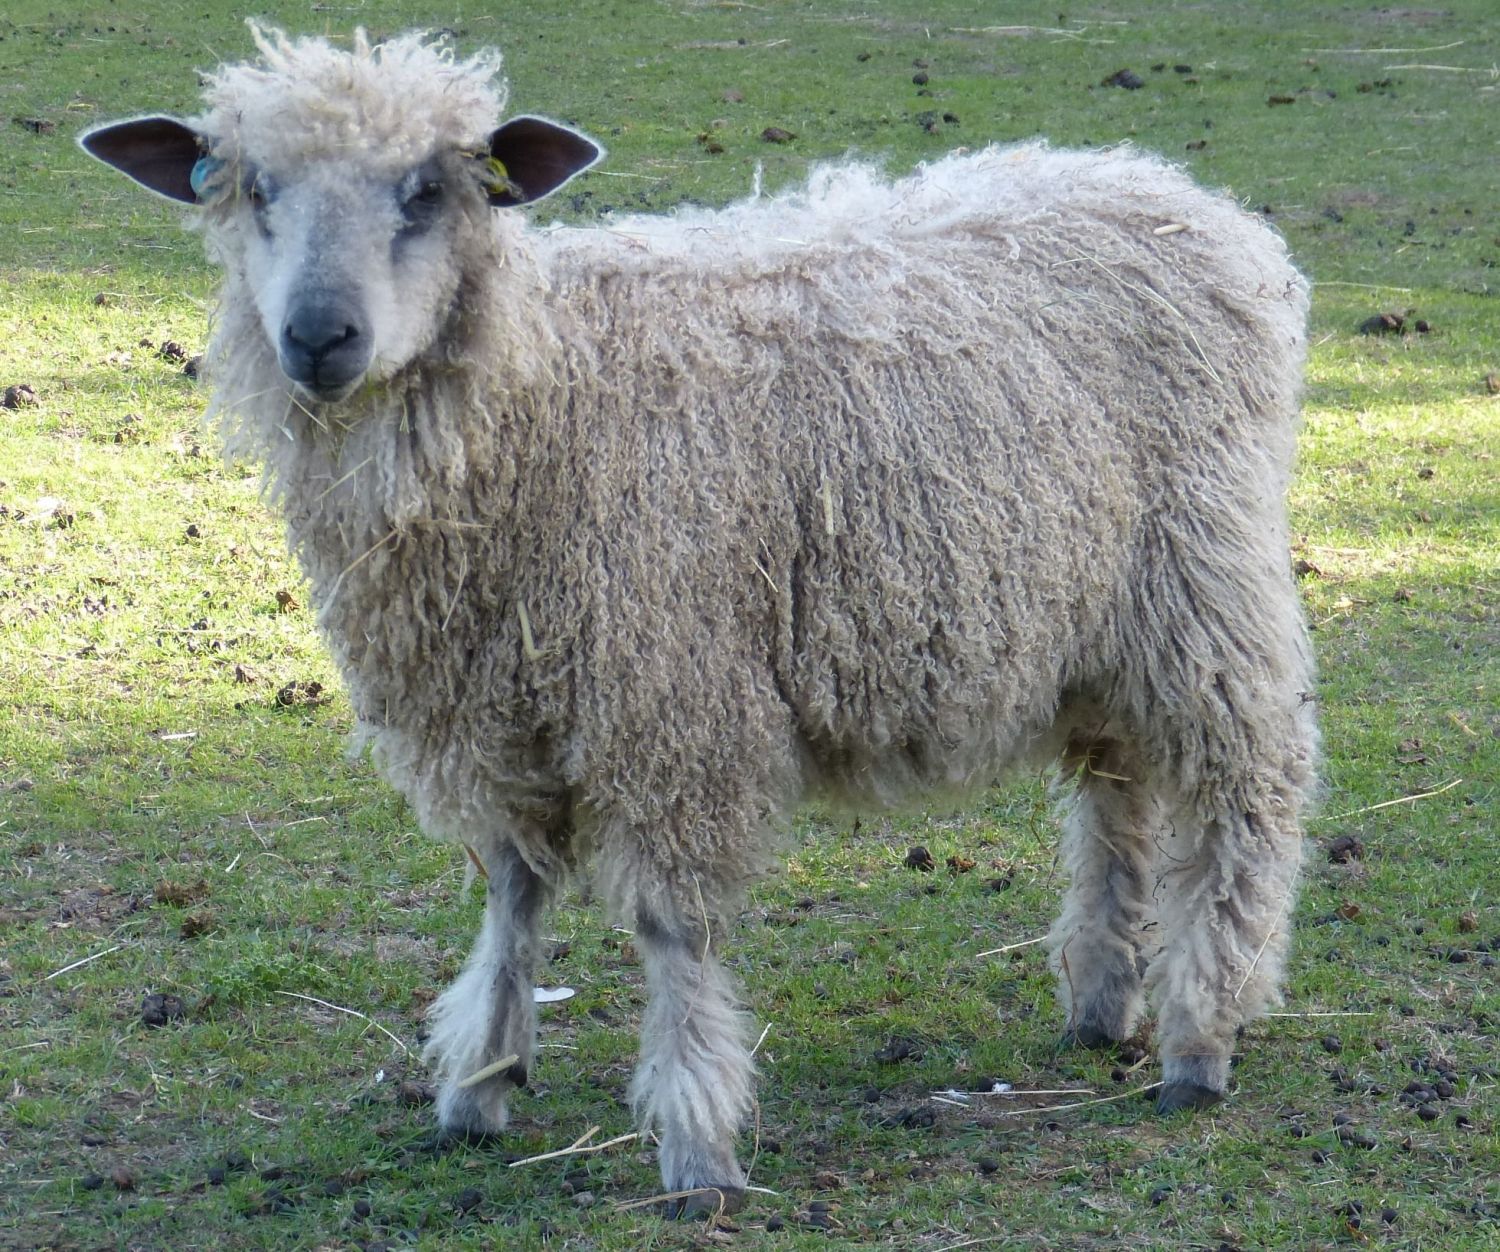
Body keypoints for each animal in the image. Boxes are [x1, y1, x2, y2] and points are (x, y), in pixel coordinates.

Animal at [83, 25, 1317, 1215]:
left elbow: (674, 929)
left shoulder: (667, 695)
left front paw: (695, 1148)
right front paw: (479, 1085)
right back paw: (1102, 1003)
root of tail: (1175, 193)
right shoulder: (498, 707)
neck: (543, 392)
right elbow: (511, 893)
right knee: (1116, 790)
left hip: (1204, 586)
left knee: (1243, 791)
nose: (320, 335)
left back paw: (1200, 1037)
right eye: (251, 187)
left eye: (429, 190)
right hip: (1097, 623)